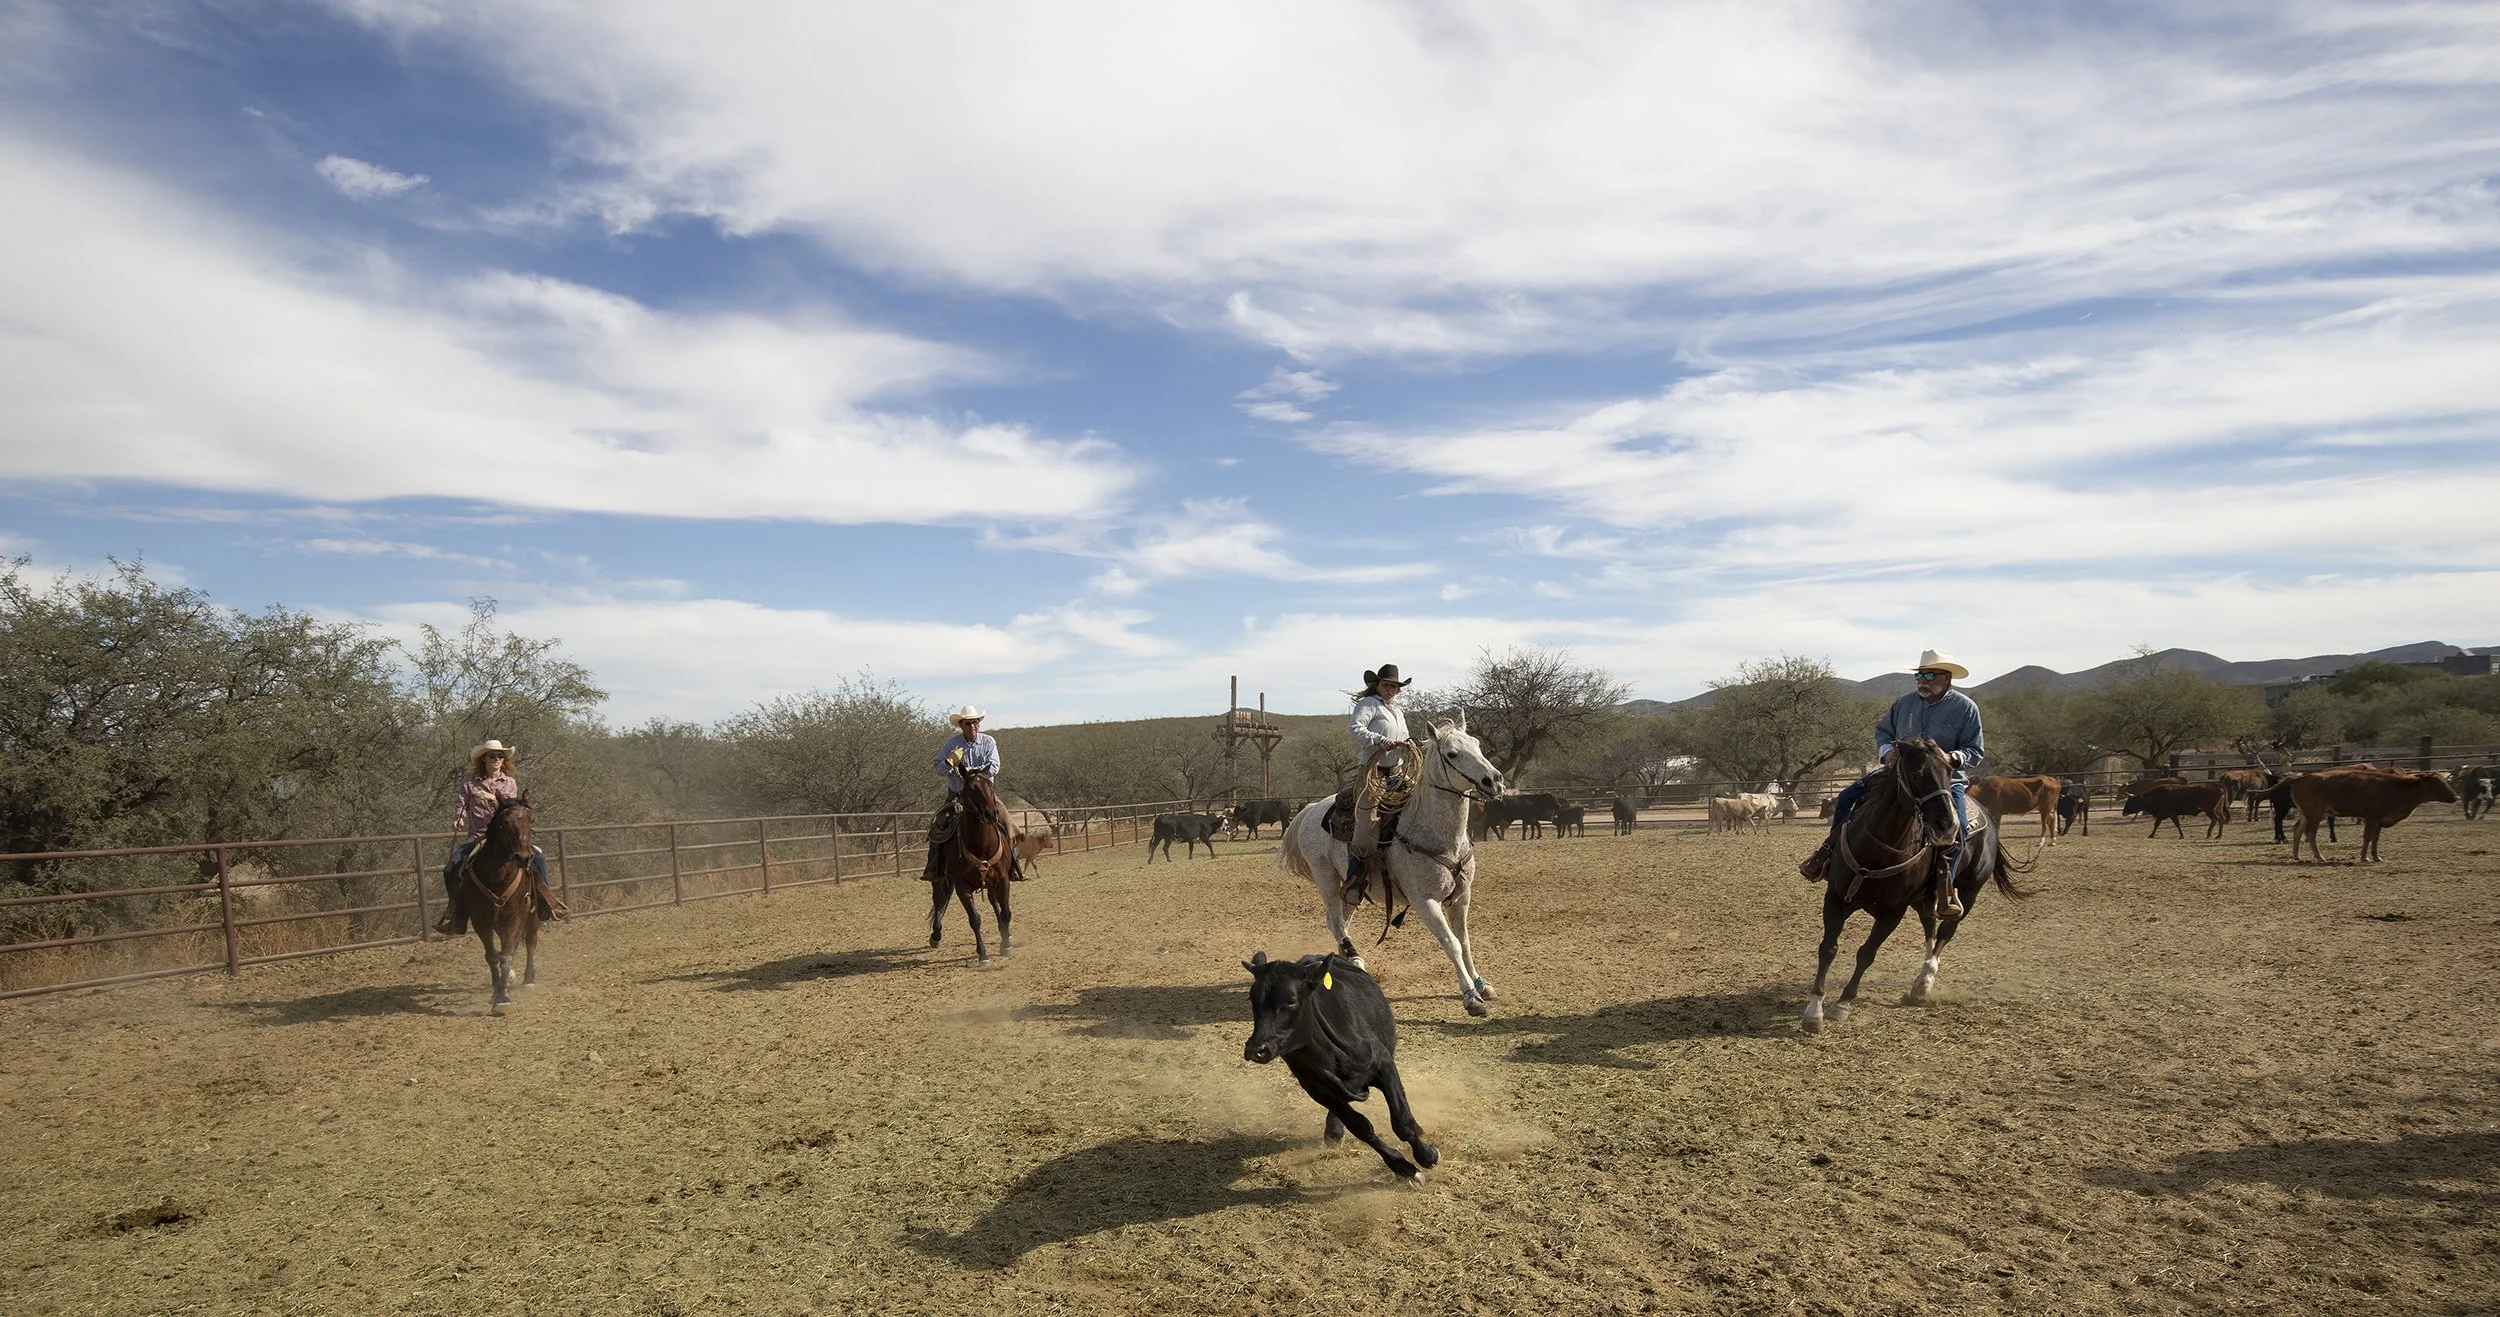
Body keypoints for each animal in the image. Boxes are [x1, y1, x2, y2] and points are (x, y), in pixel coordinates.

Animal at [1241, 951, 1437, 1182]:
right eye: (1252, 999)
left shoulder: (1384, 1064)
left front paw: (1426, 1155)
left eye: (1291, 1000)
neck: (1330, 1052)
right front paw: (1402, 1167)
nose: (1256, 1049)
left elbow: (1402, 1122)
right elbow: (1361, 1127)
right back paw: (1333, 1131)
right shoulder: (1317, 1089)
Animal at [2288, 766, 2459, 862]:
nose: (2455, 797)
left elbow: (2375, 839)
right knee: (2310, 834)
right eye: (2437, 784)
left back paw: (2297, 856)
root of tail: (2300, 778)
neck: (2397, 788)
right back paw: (2319, 857)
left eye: (2445, 782)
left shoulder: (2379, 821)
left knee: (2297, 830)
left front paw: (2376, 857)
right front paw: (2365, 857)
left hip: (2306, 814)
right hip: (2315, 814)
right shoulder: (2372, 818)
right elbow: (2367, 837)